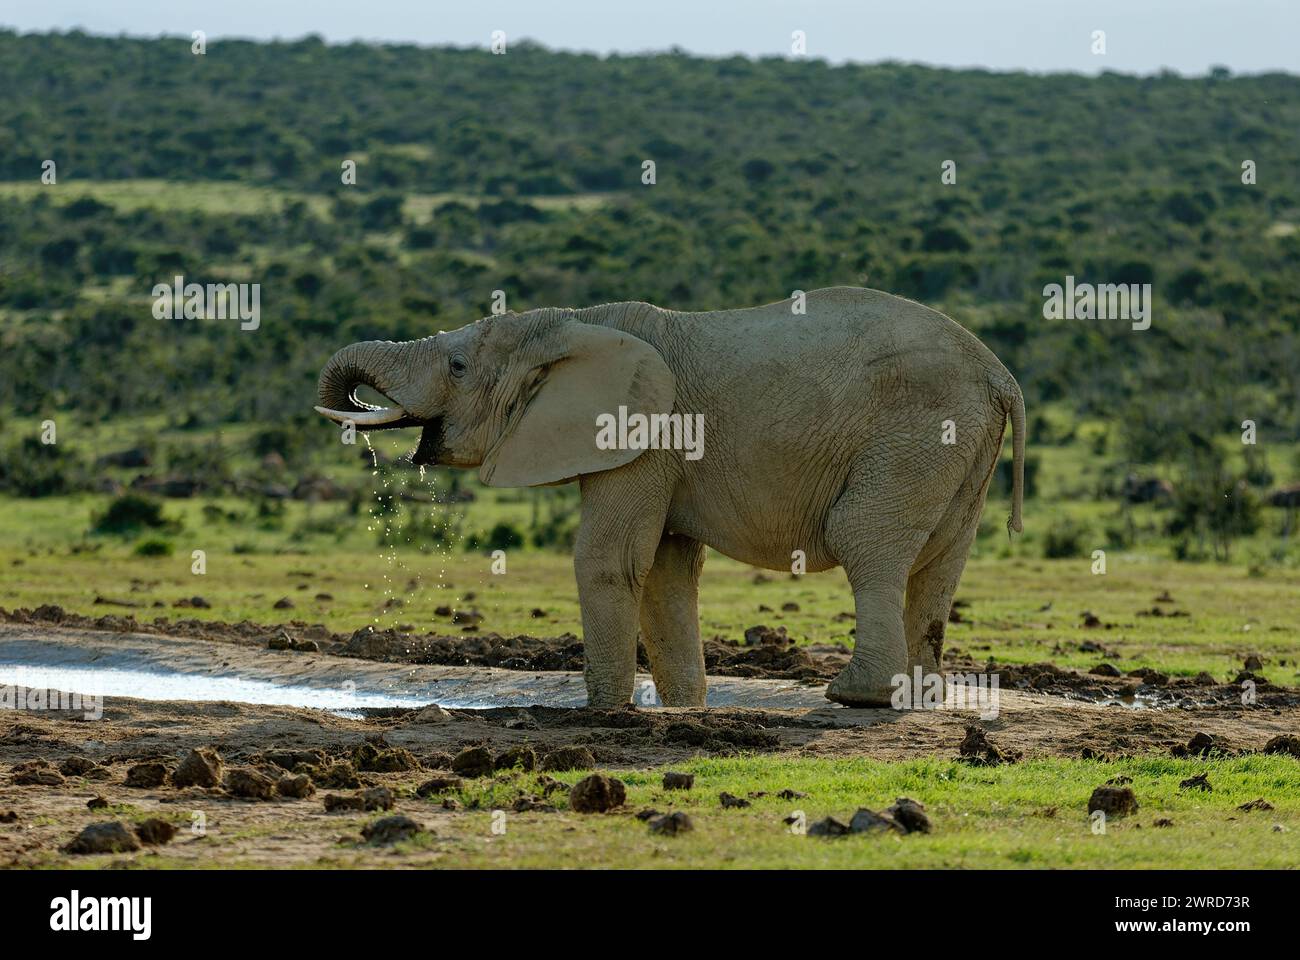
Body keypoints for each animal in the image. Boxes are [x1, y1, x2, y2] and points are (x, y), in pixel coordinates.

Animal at [315, 286, 1025, 709]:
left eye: (458, 368)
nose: (351, 409)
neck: (572, 323)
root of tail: (1001, 375)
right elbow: (665, 568)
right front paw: (686, 708)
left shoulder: (643, 435)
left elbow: (610, 559)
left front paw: (604, 712)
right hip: (959, 449)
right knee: (941, 563)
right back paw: (920, 698)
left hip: (916, 435)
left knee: (867, 541)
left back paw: (856, 696)